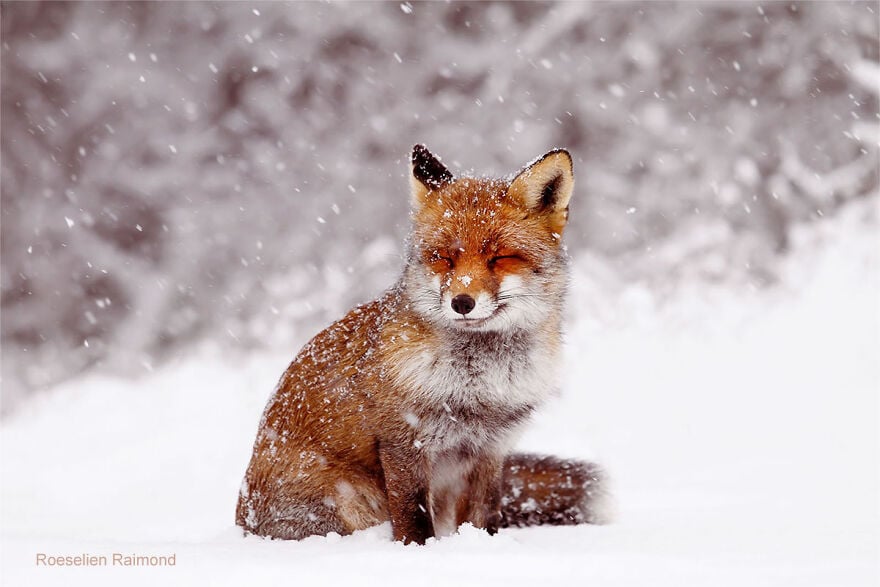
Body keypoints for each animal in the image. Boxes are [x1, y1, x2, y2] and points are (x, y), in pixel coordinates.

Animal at [235, 145, 610, 544]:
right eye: (444, 257)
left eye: (500, 257)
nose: (462, 302)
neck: (476, 386)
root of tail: (243, 524)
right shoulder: (403, 443)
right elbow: (413, 517)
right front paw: (419, 552)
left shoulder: (491, 450)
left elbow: (484, 517)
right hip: (347, 496)